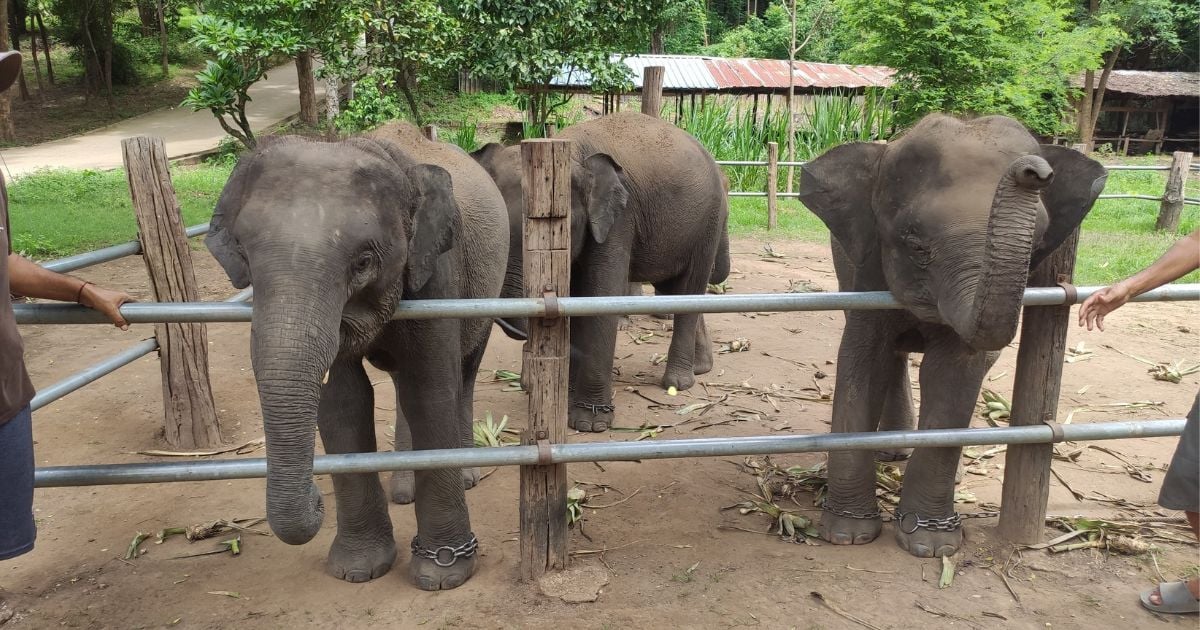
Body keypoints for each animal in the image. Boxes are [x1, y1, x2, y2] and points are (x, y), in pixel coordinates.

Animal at [204, 122, 509, 590]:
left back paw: (465, 475)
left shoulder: (439, 273)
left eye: (364, 262)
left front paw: (443, 574)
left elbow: (430, 389)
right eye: (246, 259)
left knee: (465, 370)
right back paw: (403, 490)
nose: (316, 500)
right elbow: (344, 403)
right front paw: (357, 570)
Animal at [472, 111, 730, 433]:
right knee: (673, 290)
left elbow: (600, 295)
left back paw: (678, 383)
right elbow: (574, 297)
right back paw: (701, 368)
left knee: (690, 286)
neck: (569, 149)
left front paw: (589, 423)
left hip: (708, 222)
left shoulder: (619, 219)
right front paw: (568, 395)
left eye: (558, 226)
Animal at [797, 114, 1106, 558]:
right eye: (914, 244)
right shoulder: (864, 270)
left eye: (1035, 247)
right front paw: (847, 535)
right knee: (894, 355)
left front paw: (931, 546)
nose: (1035, 171)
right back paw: (892, 451)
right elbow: (864, 362)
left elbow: (953, 374)